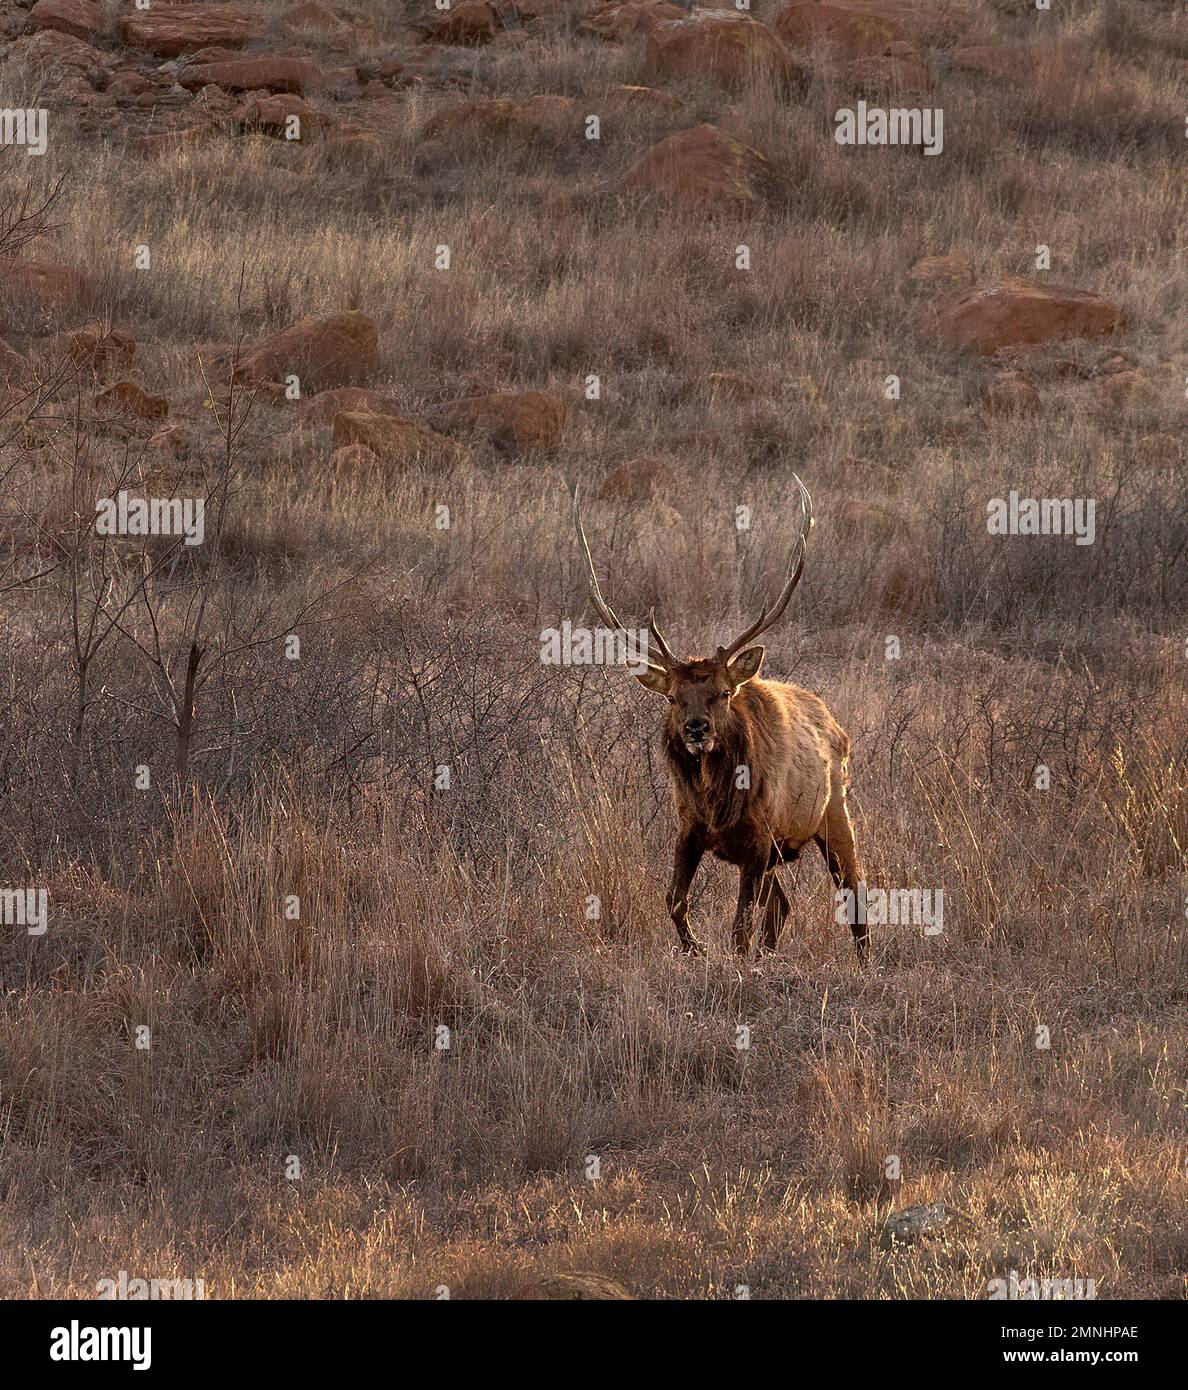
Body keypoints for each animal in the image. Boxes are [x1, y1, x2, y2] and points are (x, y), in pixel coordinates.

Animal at [574, 476, 868, 962]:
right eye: (673, 698)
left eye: (723, 693)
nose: (697, 729)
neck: (717, 805)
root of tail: (834, 722)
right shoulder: (690, 828)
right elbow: (675, 900)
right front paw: (697, 949)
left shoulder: (759, 839)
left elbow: (739, 925)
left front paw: (729, 957)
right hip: (780, 851)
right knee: (782, 905)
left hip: (834, 809)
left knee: (854, 891)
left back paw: (865, 963)